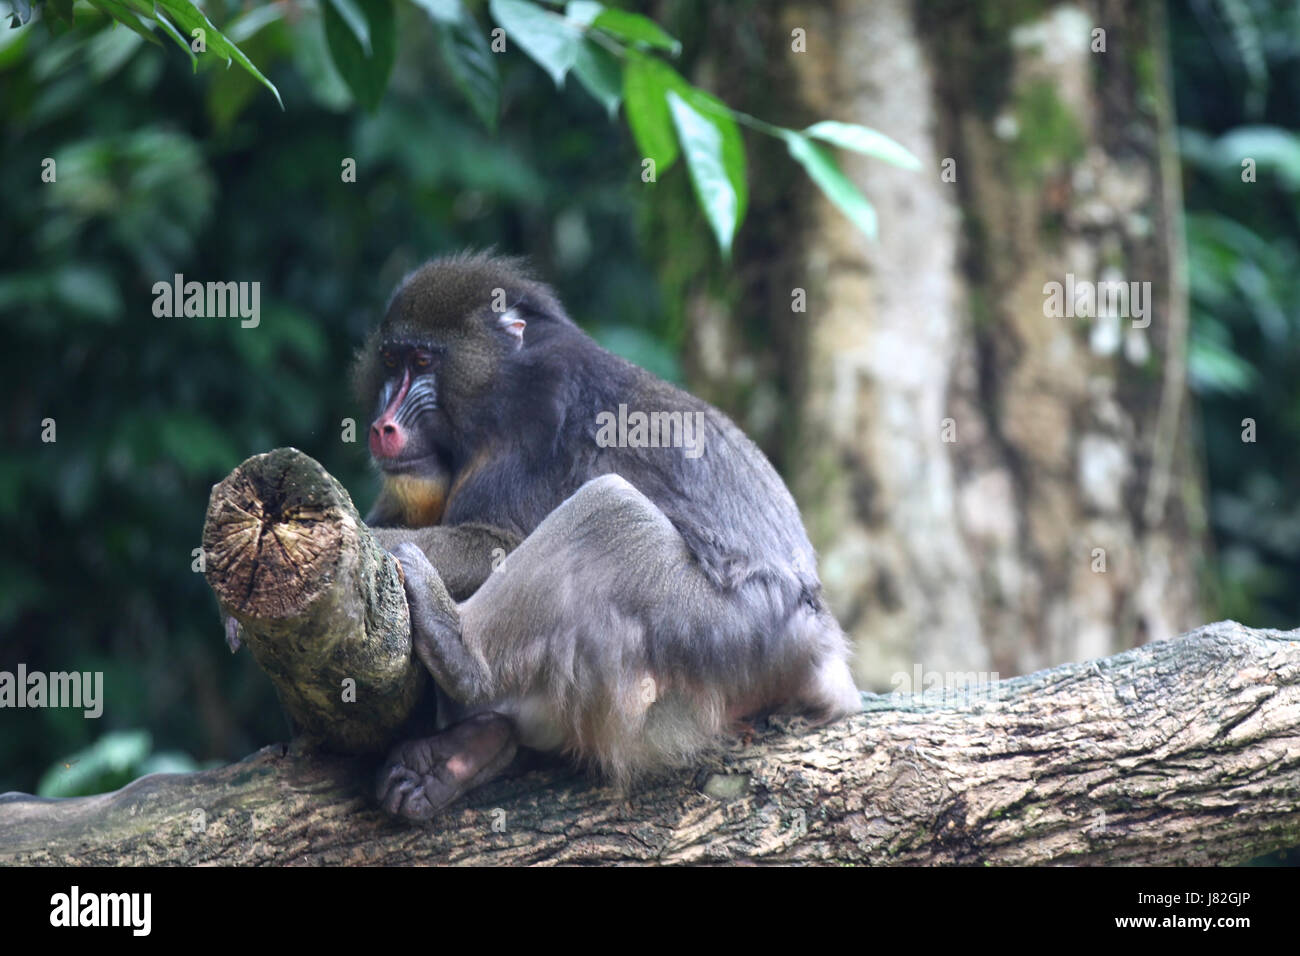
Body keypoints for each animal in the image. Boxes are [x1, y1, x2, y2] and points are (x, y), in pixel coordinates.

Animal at [357, 251, 861, 822]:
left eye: (423, 362)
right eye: (390, 361)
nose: (382, 426)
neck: (500, 387)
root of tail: (821, 649)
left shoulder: (529, 435)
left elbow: (499, 545)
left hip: (729, 636)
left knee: (611, 510)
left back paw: (461, 654)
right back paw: (457, 759)